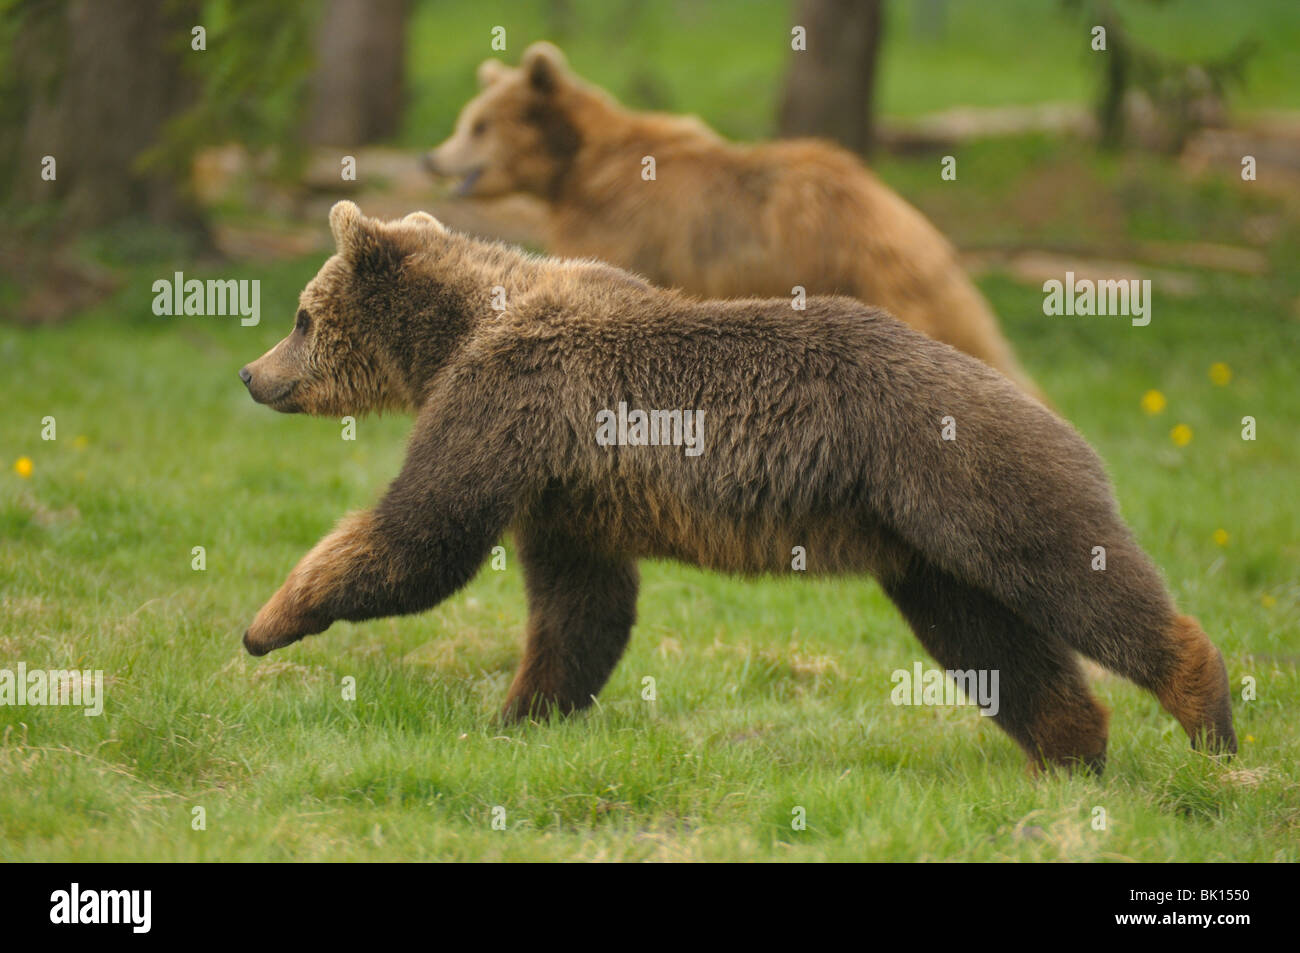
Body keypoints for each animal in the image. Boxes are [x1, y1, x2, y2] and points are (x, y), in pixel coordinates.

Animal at [238, 201, 1236, 775]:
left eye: (300, 315)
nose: (252, 374)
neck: (454, 337)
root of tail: (1050, 409)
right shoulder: (565, 490)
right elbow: (581, 610)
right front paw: (521, 715)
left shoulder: (509, 404)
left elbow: (423, 536)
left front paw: (268, 618)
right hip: (927, 555)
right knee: (995, 644)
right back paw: (1075, 753)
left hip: (975, 481)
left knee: (1081, 584)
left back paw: (1206, 716)